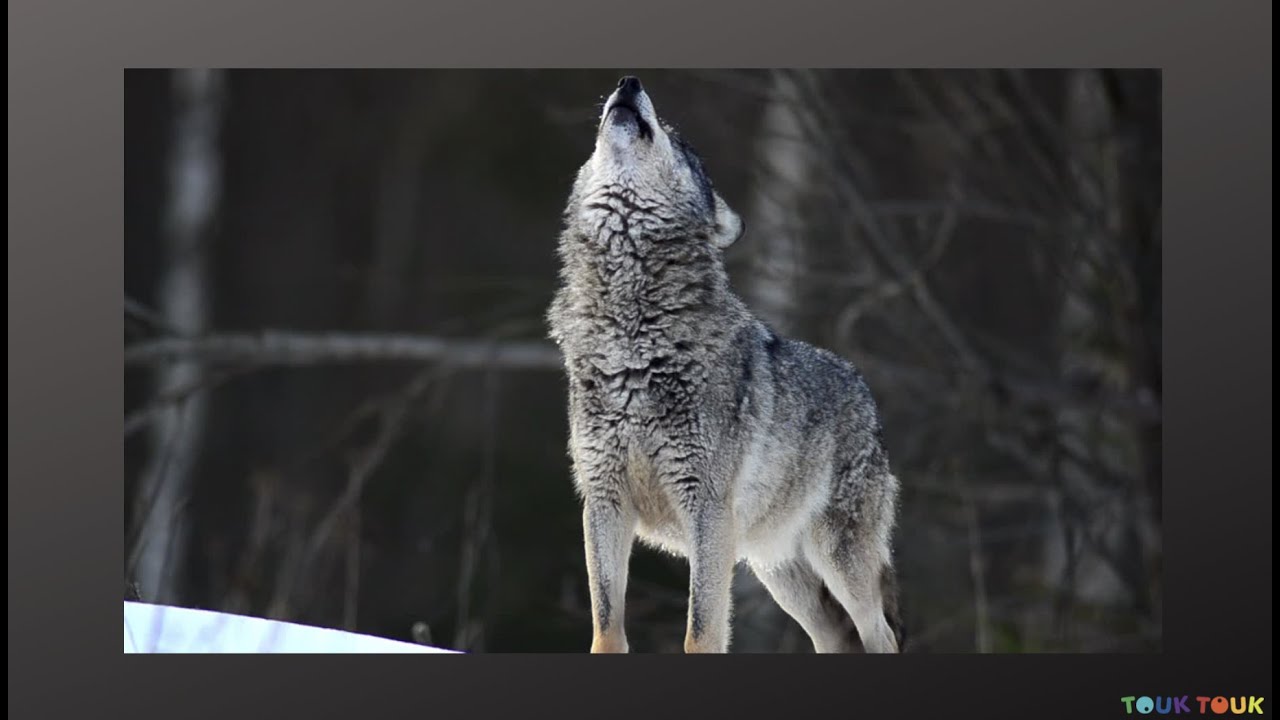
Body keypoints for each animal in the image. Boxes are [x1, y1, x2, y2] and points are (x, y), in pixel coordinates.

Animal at [547, 76, 904, 654]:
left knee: (881, 635)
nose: (629, 82)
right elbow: (606, 622)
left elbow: (701, 629)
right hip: (777, 570)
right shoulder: (603, 502)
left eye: (680, 141)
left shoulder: (707, 511)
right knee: (836, 636)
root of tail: (864, 392)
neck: (632, 340)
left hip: (837, 559)